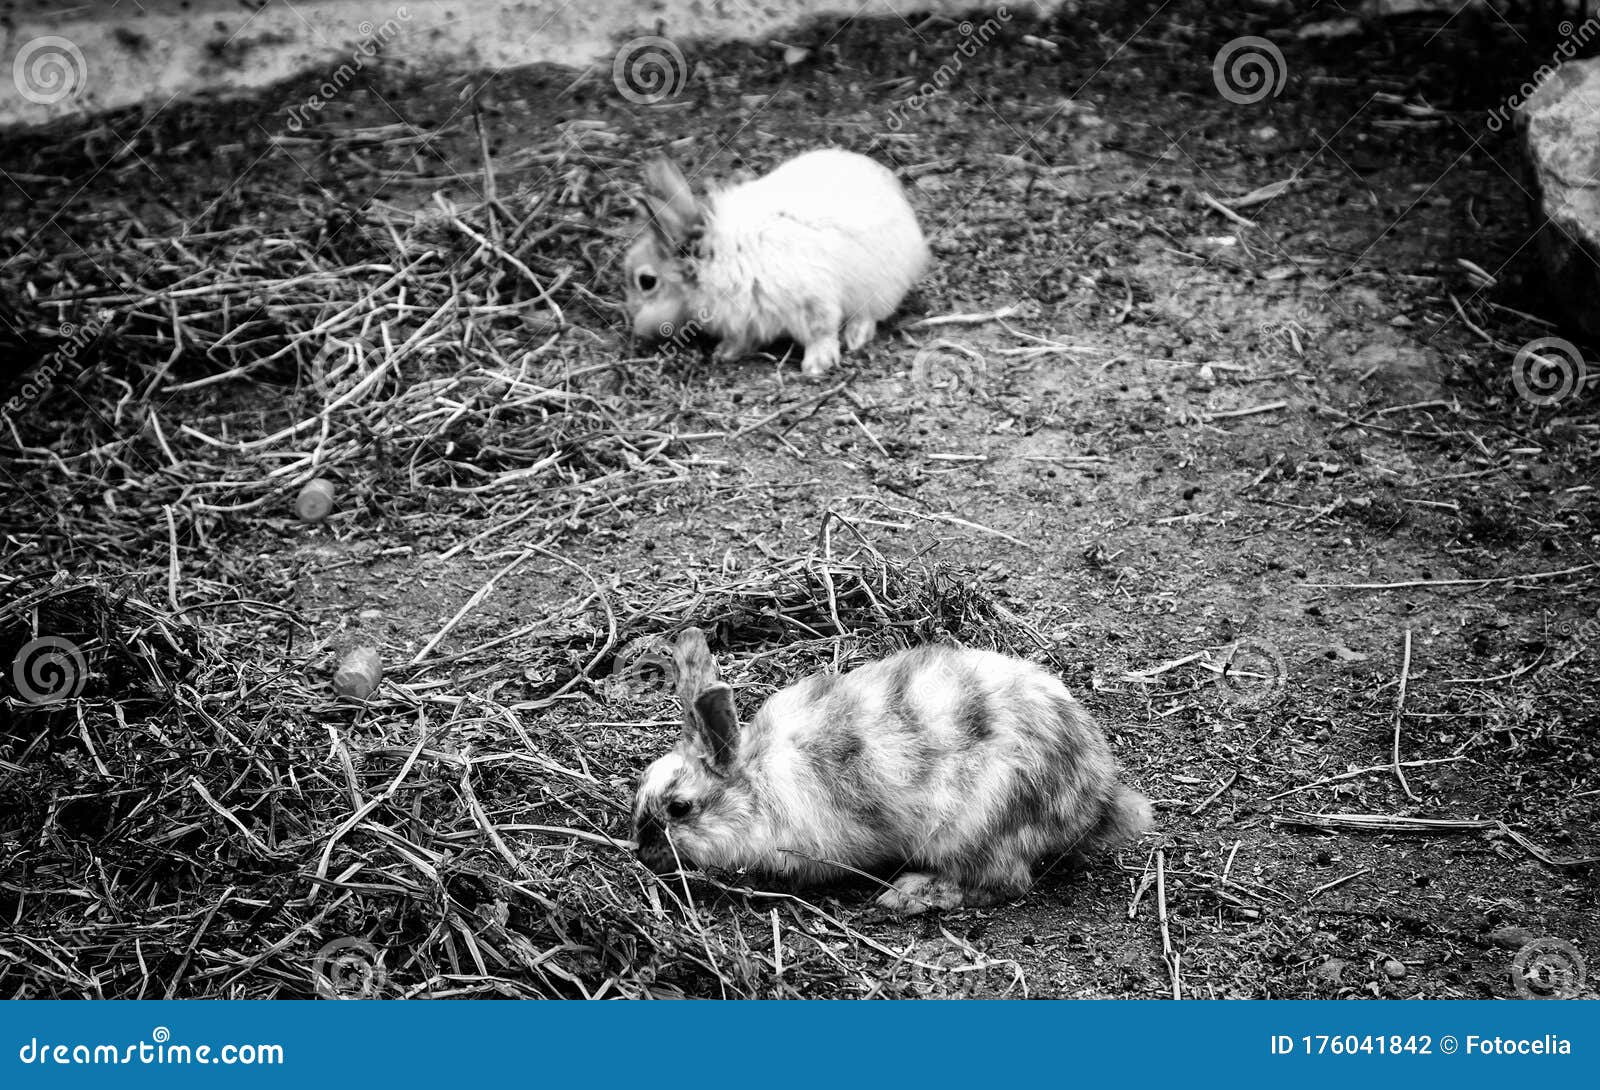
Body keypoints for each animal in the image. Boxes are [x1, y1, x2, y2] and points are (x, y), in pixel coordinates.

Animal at [623, 148, 931, 379]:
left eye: (646, 281)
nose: (637, 330)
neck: (713, 259)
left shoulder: (812, 299)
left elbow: (821, 331)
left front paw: (816, 365)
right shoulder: (748, 318)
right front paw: (725, 353)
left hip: (879, 286)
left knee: (870, 314)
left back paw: (855, 336)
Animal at [633, 628, 1152, 914]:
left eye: (679, 808)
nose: (643, 854)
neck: (756, 784)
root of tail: (1095, 801)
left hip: (977, 824)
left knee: (1004, 883)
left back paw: (908, 895)